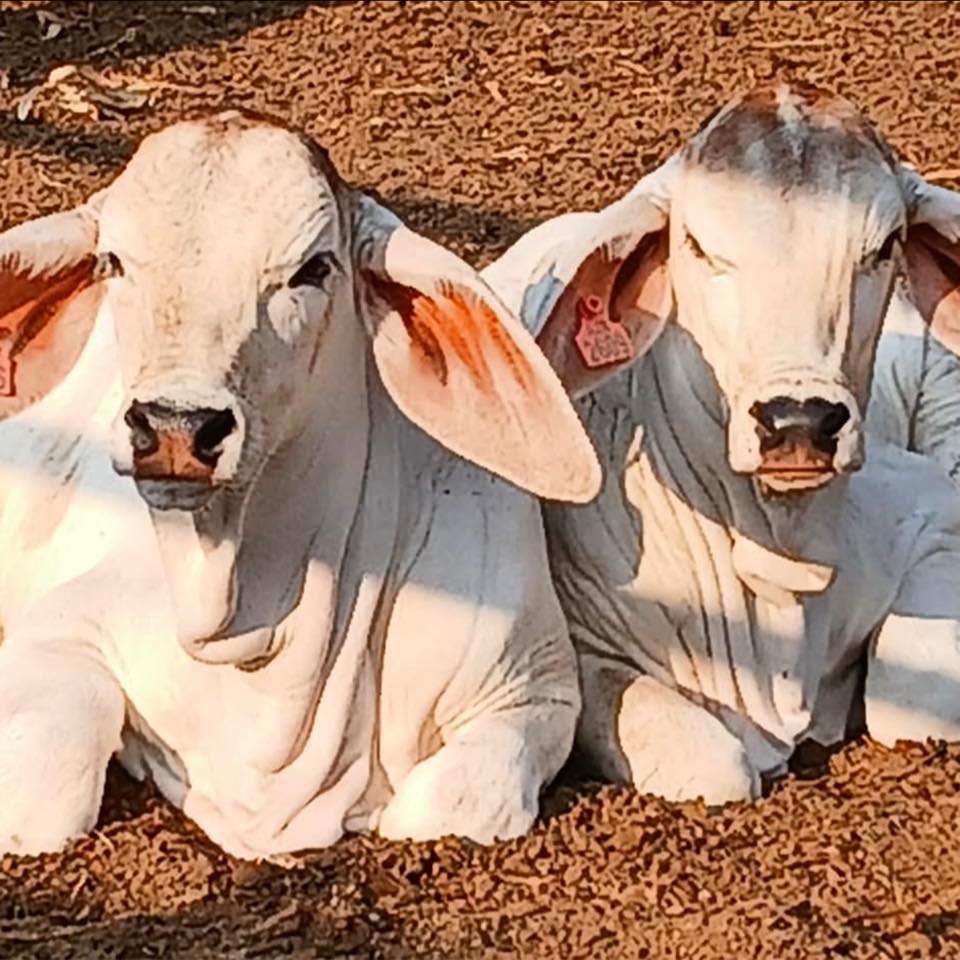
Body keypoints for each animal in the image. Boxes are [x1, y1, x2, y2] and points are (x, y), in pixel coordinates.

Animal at [0, 111, 602, 859]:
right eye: (113, 262)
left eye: (312, 268)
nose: (174, 426)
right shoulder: (65, 629)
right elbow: (36, 804)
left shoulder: (536, 688)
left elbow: (441, 809)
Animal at [481, 84, 960, 804]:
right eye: (699, 246)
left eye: (885, 246)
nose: (799, 422)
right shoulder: (583, 654)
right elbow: (715, 763)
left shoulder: (933, 515)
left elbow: (912, 708)